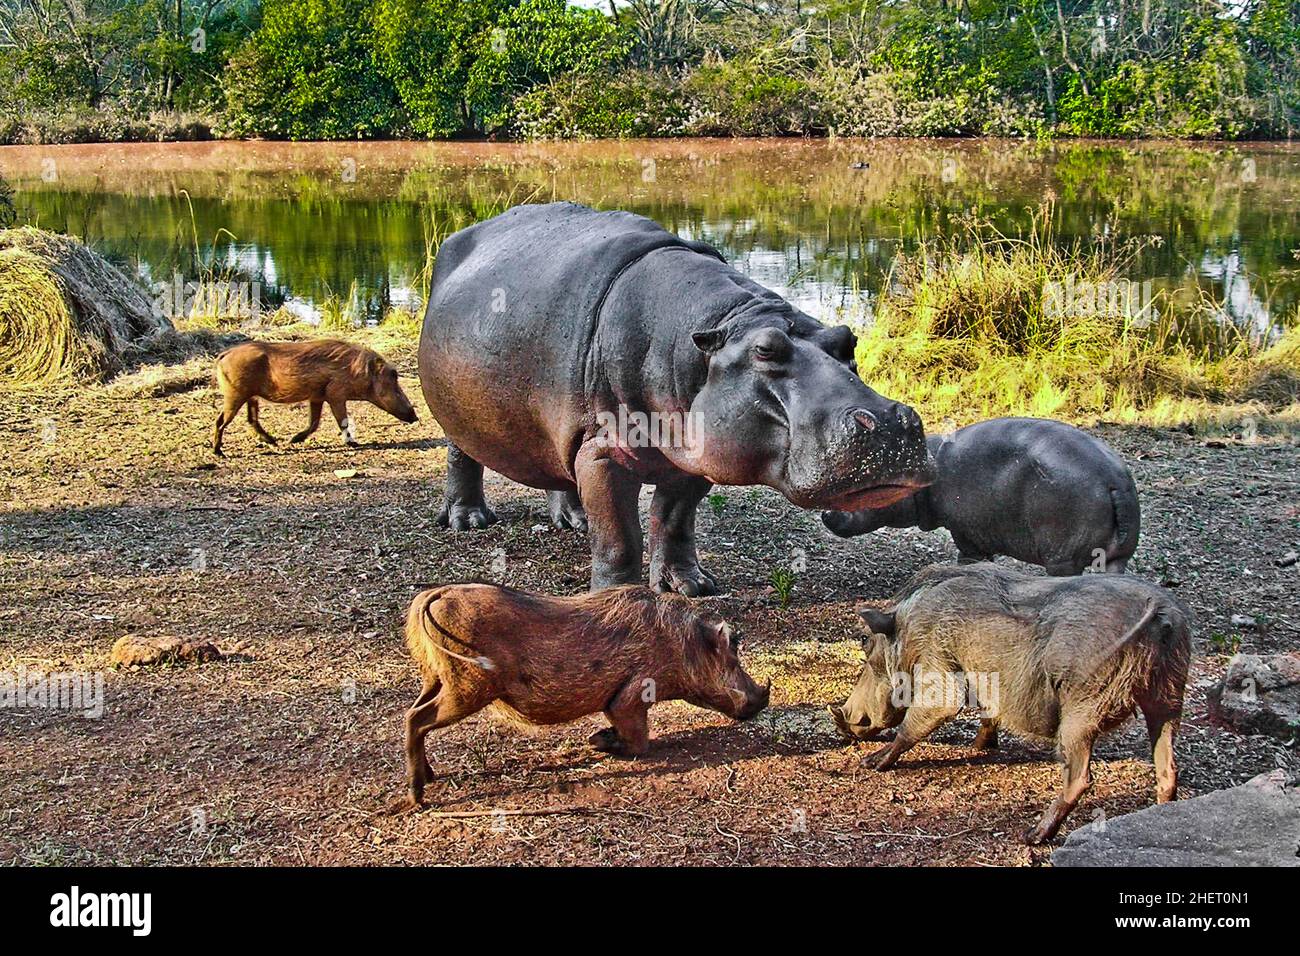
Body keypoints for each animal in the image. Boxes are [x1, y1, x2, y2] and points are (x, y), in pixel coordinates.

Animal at [419, 202, 935, 594]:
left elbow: (674, 522)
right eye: (766, 350)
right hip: (459, 415)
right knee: (461, 455)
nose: (892, 423)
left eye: (848, 339)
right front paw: (618, 598)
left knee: (557, 465)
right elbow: (619, 539)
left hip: (557, 428)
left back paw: (575, 520)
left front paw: (692, 586)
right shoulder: (603, 453)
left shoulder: (693, 459)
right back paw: (469, 520)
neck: (713, 331)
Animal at [822, 417, 1140, 575]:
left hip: (1063, 556)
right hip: (1117, 558)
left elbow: (968, 558)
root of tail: (1115, 481)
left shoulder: (965, 532)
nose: (826, 513)